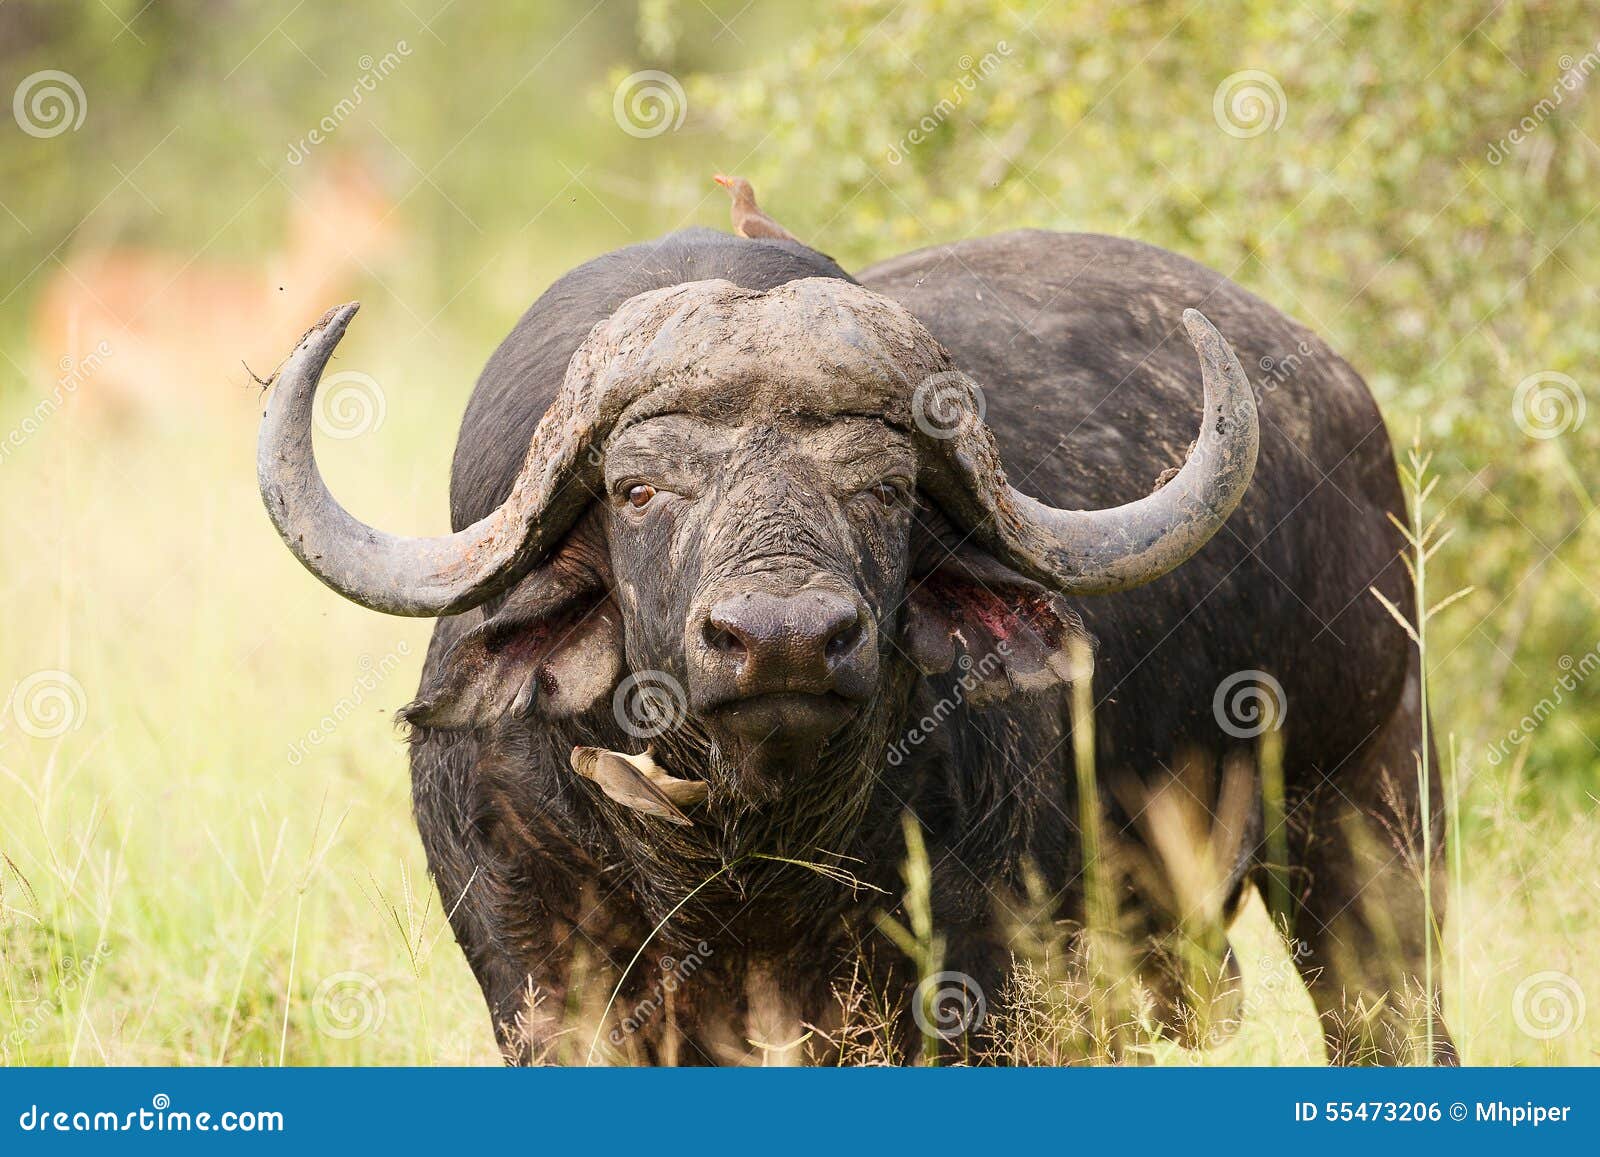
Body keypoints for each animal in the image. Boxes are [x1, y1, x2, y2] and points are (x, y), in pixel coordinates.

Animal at [258, 226, 1453, 1065]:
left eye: (881, 489)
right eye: (638, 490)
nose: (783, 637)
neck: (736, 863)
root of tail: (1342, 402)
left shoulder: (977, 983)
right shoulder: (542, 976)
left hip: (1368, 823)